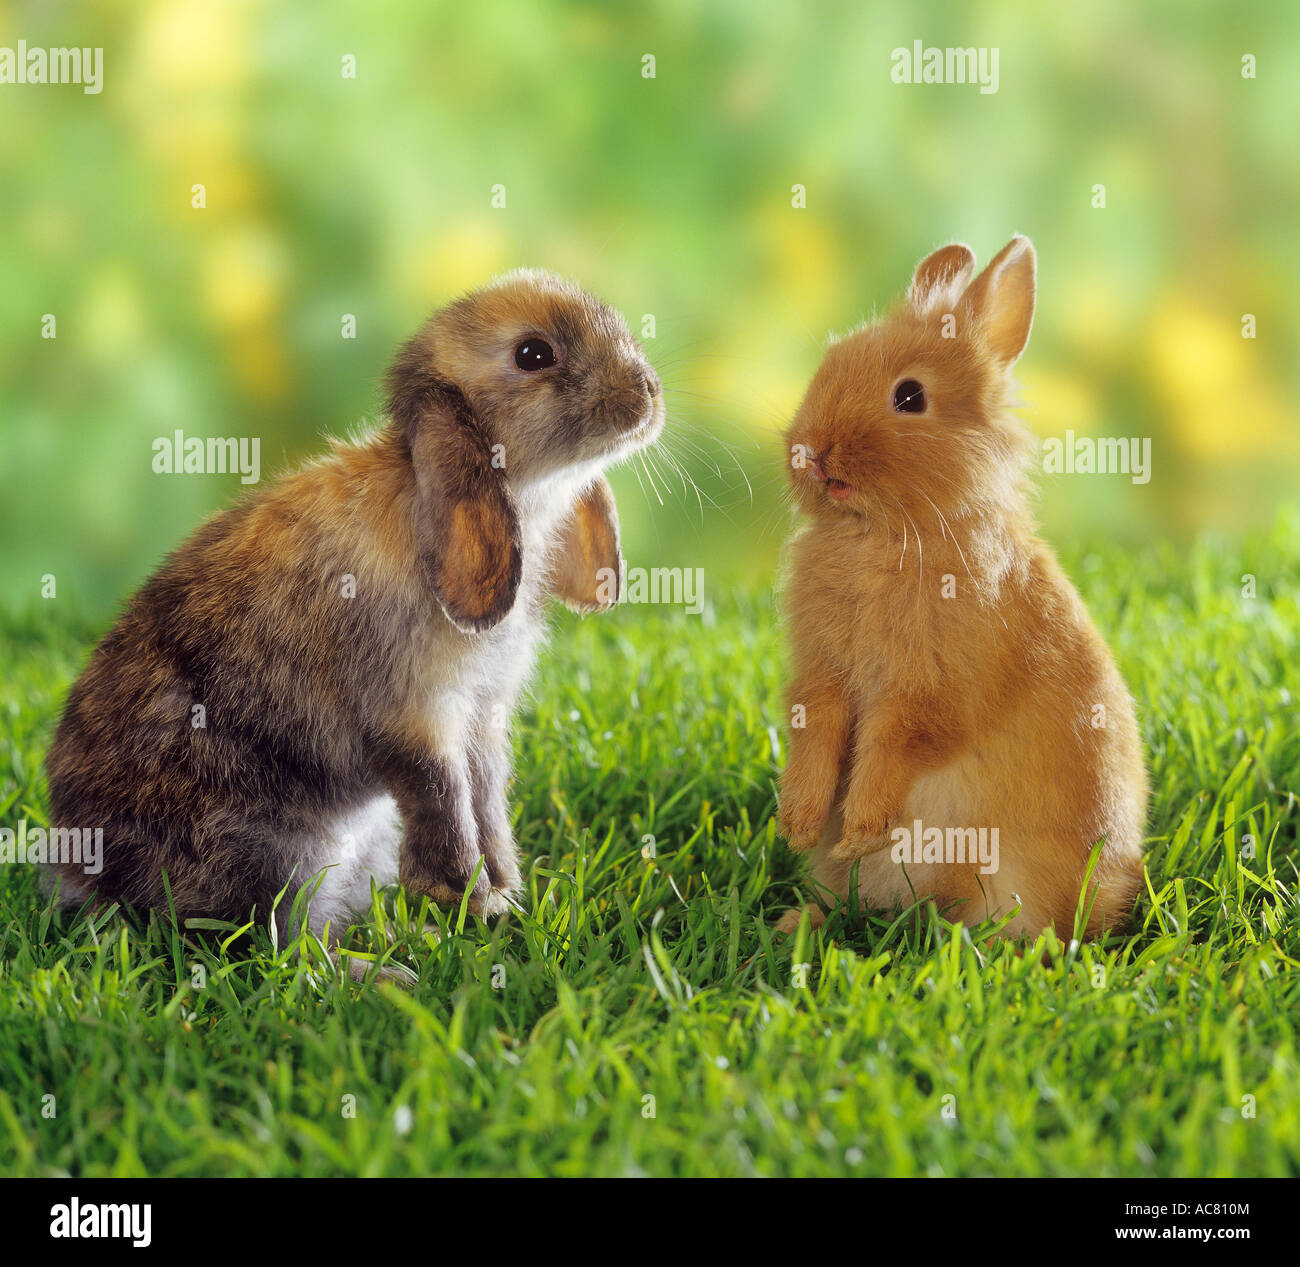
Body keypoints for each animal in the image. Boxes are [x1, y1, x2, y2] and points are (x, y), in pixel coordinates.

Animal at [45, 268, 664, 955]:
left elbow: (486, 800)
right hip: (266, 856)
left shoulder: (483, 713)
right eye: (533, 354)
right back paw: (379, 968)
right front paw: (472, 900)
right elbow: (444, 800)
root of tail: (85, 875)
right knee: (275, 947)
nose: (649, 393)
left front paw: (504, 892)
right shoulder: (415, 713)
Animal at [775, 237, 1147, 939]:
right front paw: (799, 824)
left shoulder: (928, 691)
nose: (811, 450)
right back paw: (799, 921)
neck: (883, 532)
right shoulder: (821, 676)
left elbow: (896, 744)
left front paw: (859, 828)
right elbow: (817, 732)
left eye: (910, 397)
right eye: (830, 364)